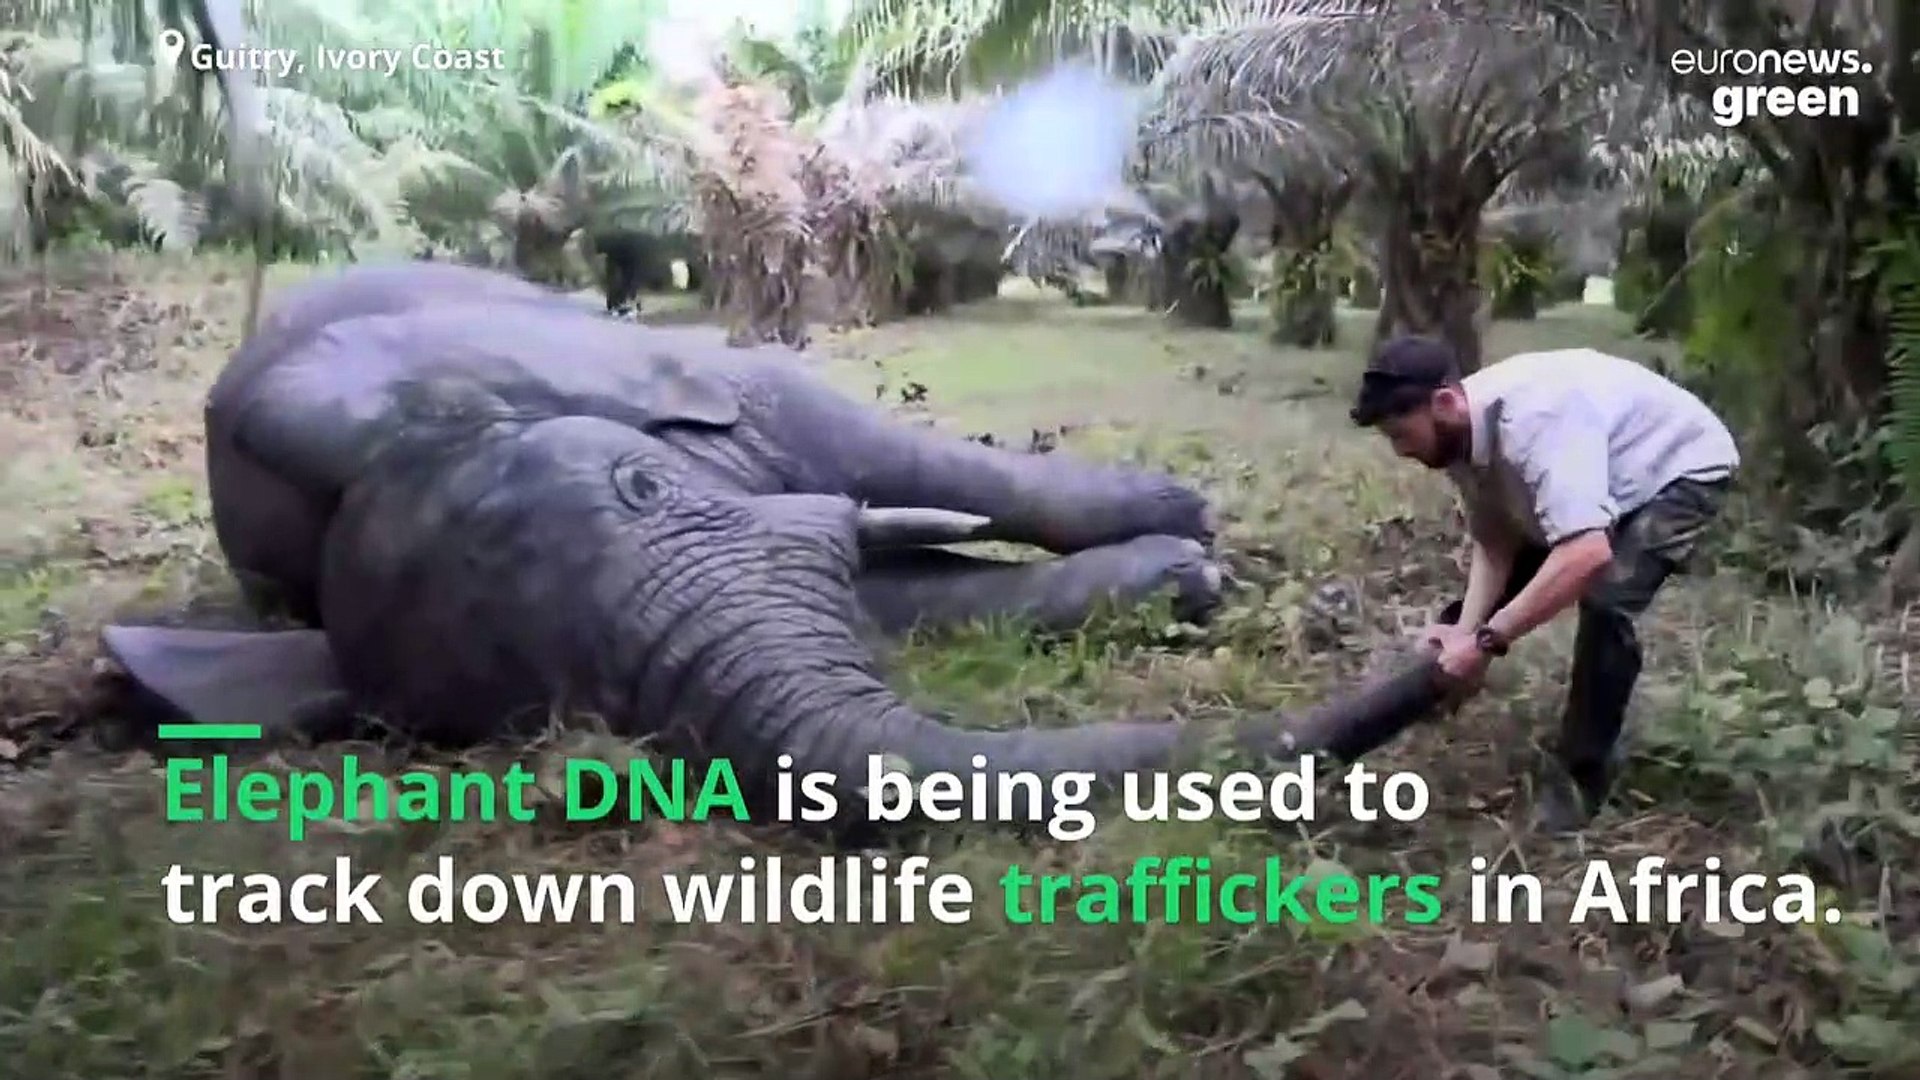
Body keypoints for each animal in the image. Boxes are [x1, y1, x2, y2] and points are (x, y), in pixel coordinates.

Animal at [102, 262, 1451, 824]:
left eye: (645, 485)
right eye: (560, 729)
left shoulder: (695, 385)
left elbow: (904, 467)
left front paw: (1189, 527)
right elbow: (902, 594)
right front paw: (1178, 579)